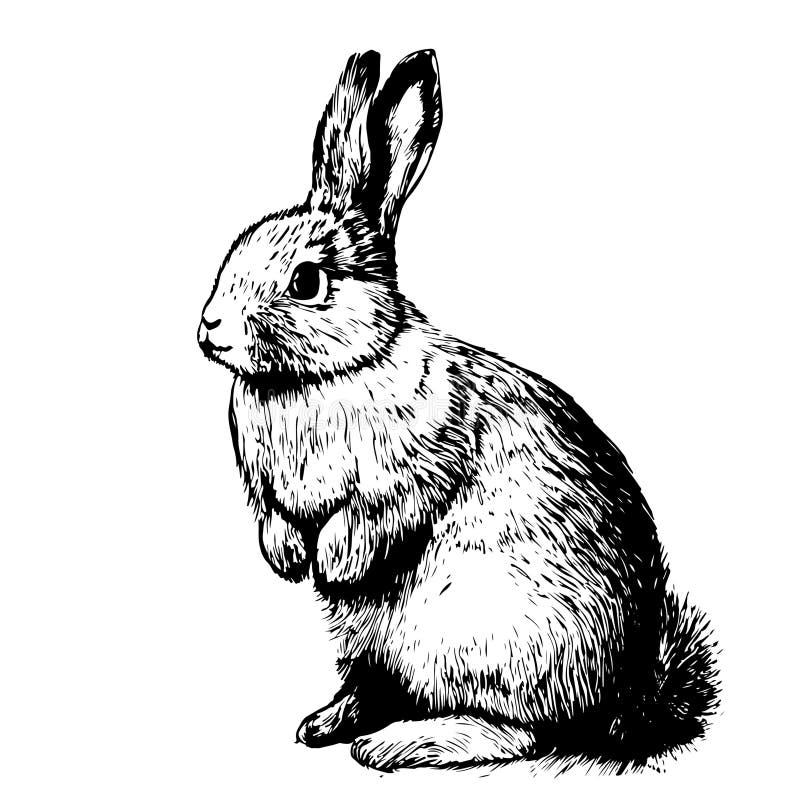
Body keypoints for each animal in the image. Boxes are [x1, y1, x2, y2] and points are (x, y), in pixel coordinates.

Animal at [197, 50, 719, 771]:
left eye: (306, 281)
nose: (210, 327)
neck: (333, 368)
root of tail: (625, 695)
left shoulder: (410, 475)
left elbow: (373, 518)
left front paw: (332, 561)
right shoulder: (266, 494)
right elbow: (272, 519)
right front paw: (289, 559)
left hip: (485, 641)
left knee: (519, 732)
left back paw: (398, 745)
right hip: (373, 642)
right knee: (376, 686)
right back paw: (326, 724)